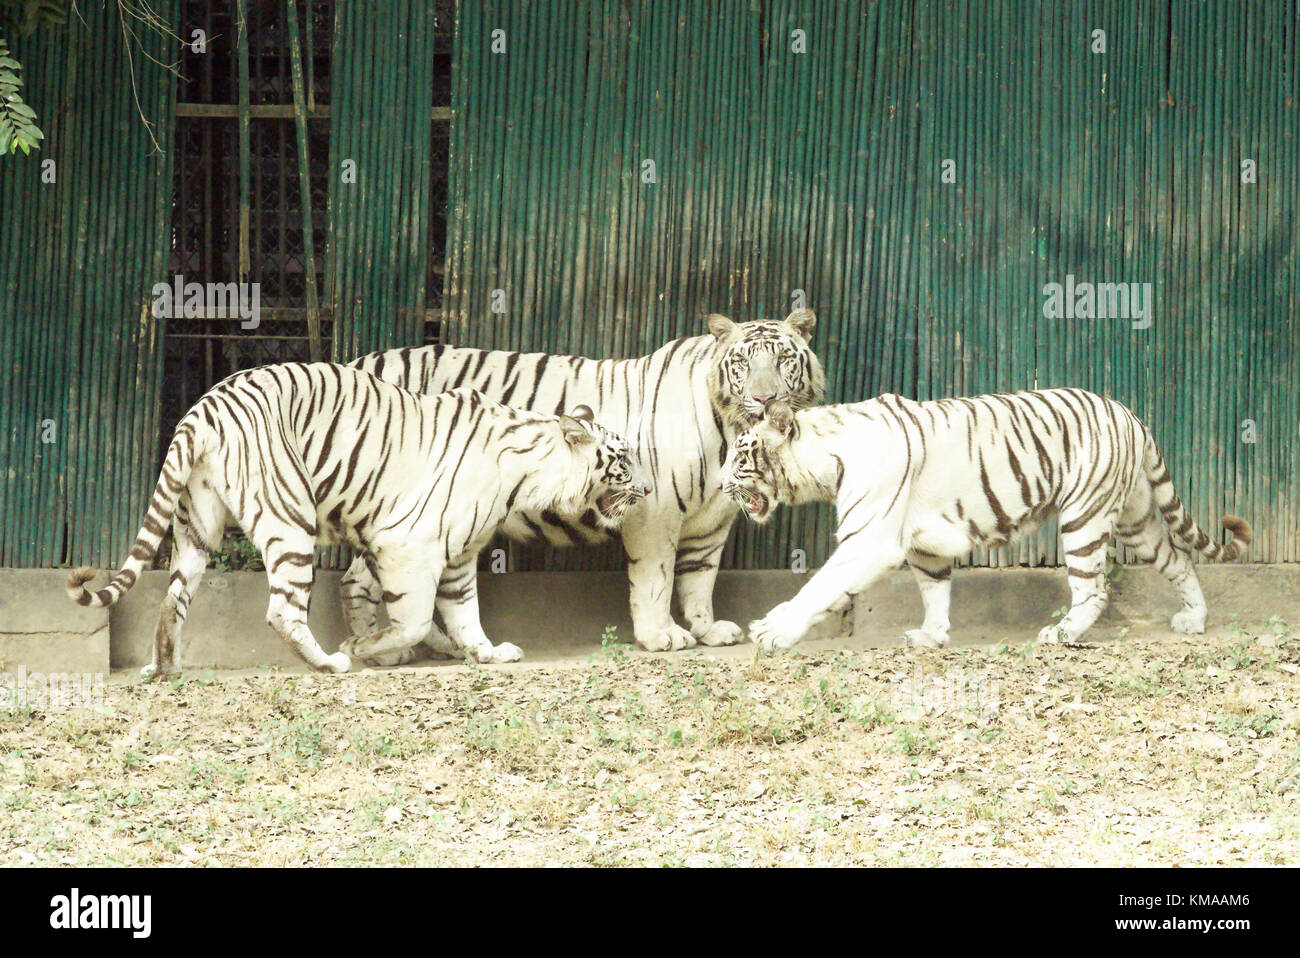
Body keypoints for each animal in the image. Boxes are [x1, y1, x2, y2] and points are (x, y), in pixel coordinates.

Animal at [65, 363, 648, 676]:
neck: (528, 472)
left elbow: (465, 613)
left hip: (196, 526)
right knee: (282, 610)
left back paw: (164, 668)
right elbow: (415, 618)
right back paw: (329, 663)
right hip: (290, 517)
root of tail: (205, 407)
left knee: (173, 598)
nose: (646, 491)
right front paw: (365, 649)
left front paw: (488, 652)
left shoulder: (460, 554)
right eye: (623, 462)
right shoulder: (409, 545)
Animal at [342, 309, 824, 660]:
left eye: (783, 359)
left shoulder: (711, 521)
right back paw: (383, 652)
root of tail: (357, 361)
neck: (730, 426)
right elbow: (658, 579)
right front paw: (661, 636)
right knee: (361, 581)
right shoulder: (655, 512)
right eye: (743, 362)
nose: (765, 398)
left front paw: (706, 628)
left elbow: (699, 579)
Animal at [718, 388, 1252, 651]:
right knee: (1178, 558)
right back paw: (1194, 618)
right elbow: (934, 590)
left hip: (1084, 516)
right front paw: (931, 636)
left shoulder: (866, 541)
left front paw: (773, 632)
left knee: (1093, 590)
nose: (719, 484)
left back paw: (1063, 635)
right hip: (1136, 519)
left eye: (741, 456)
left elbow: (818, 587)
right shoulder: (922, 544)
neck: (824, 458)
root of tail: (1130, 414)